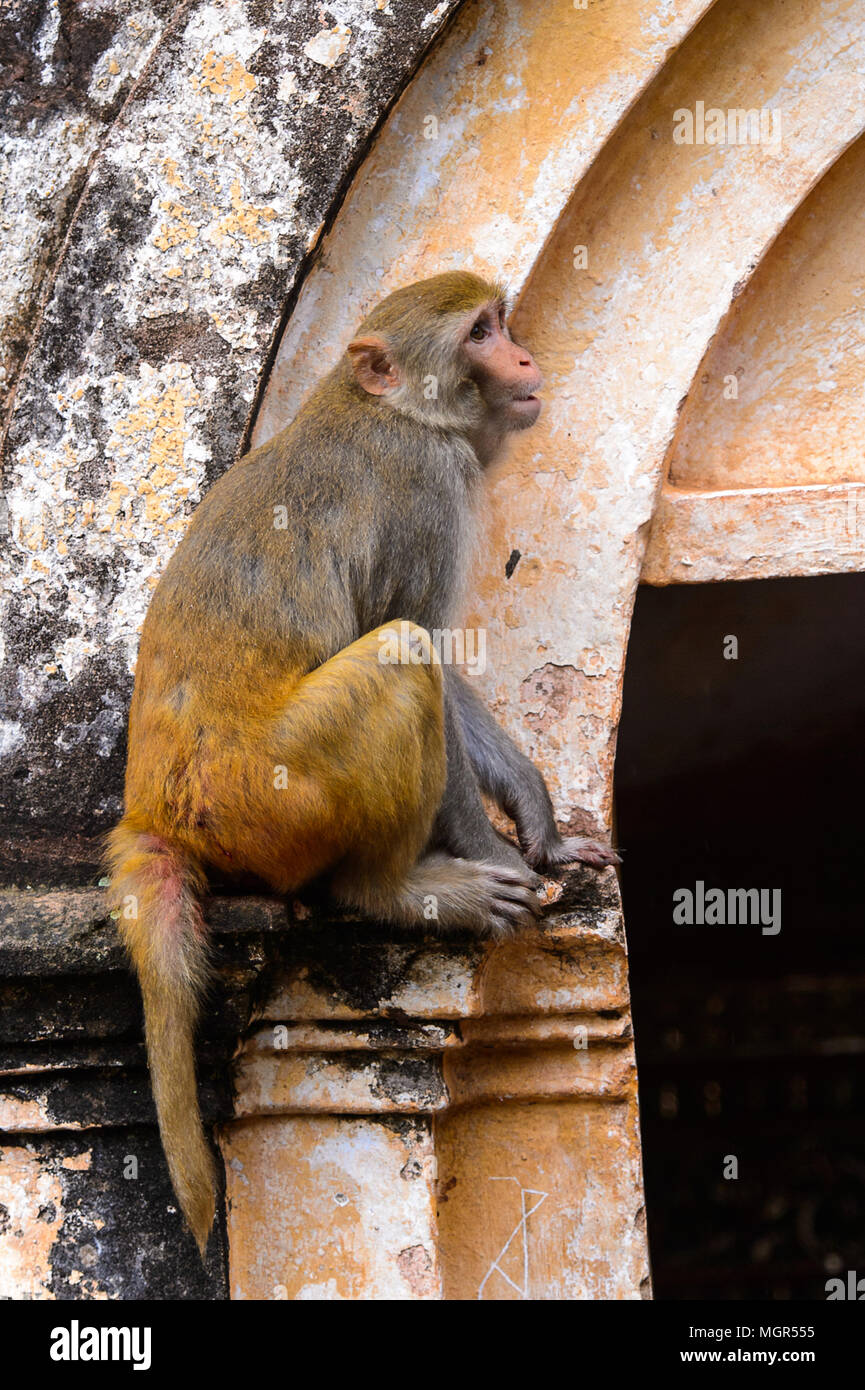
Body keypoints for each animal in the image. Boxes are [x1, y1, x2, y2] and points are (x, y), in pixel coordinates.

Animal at [104, 270, 619, 1256]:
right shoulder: (429, 487)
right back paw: (393, 890)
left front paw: (539, 826)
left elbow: (447, 665)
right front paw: (495, 856)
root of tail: (155, 809)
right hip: (274, 798)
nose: (523, 353)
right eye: (480, 333)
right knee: (398, 654)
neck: (391, 410)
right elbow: (424, 638)